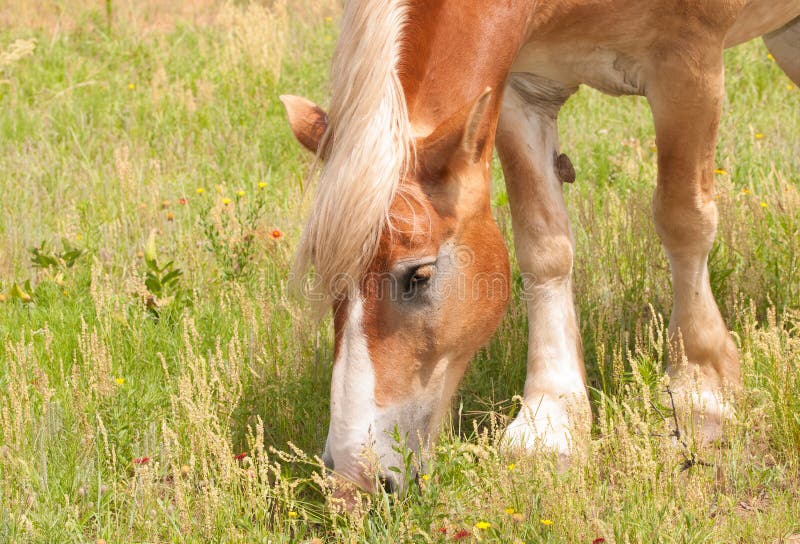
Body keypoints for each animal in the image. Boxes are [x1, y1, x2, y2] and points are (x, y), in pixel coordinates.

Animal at [280, 0, 800, 498]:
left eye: (420, 275)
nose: (354, 480)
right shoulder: (521, 91)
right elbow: (543, 246)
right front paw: (551, 421)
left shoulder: (688, 63)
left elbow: (684, 221)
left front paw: (699, 388)